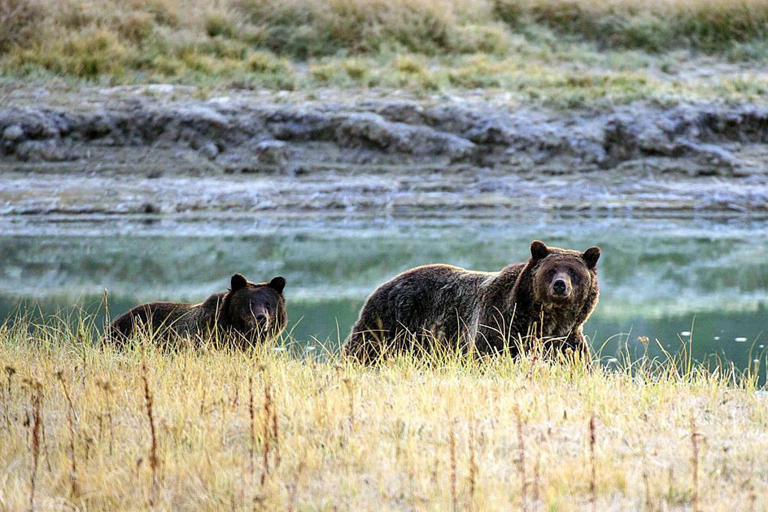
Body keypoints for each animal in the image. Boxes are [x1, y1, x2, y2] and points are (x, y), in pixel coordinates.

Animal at [343, 240, 600, 362]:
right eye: (551, 269)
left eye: (573, 271)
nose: (560, 285)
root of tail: (384, 284)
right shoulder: (499, 326)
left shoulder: (566, 341)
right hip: (389, 323)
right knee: (363, 350)